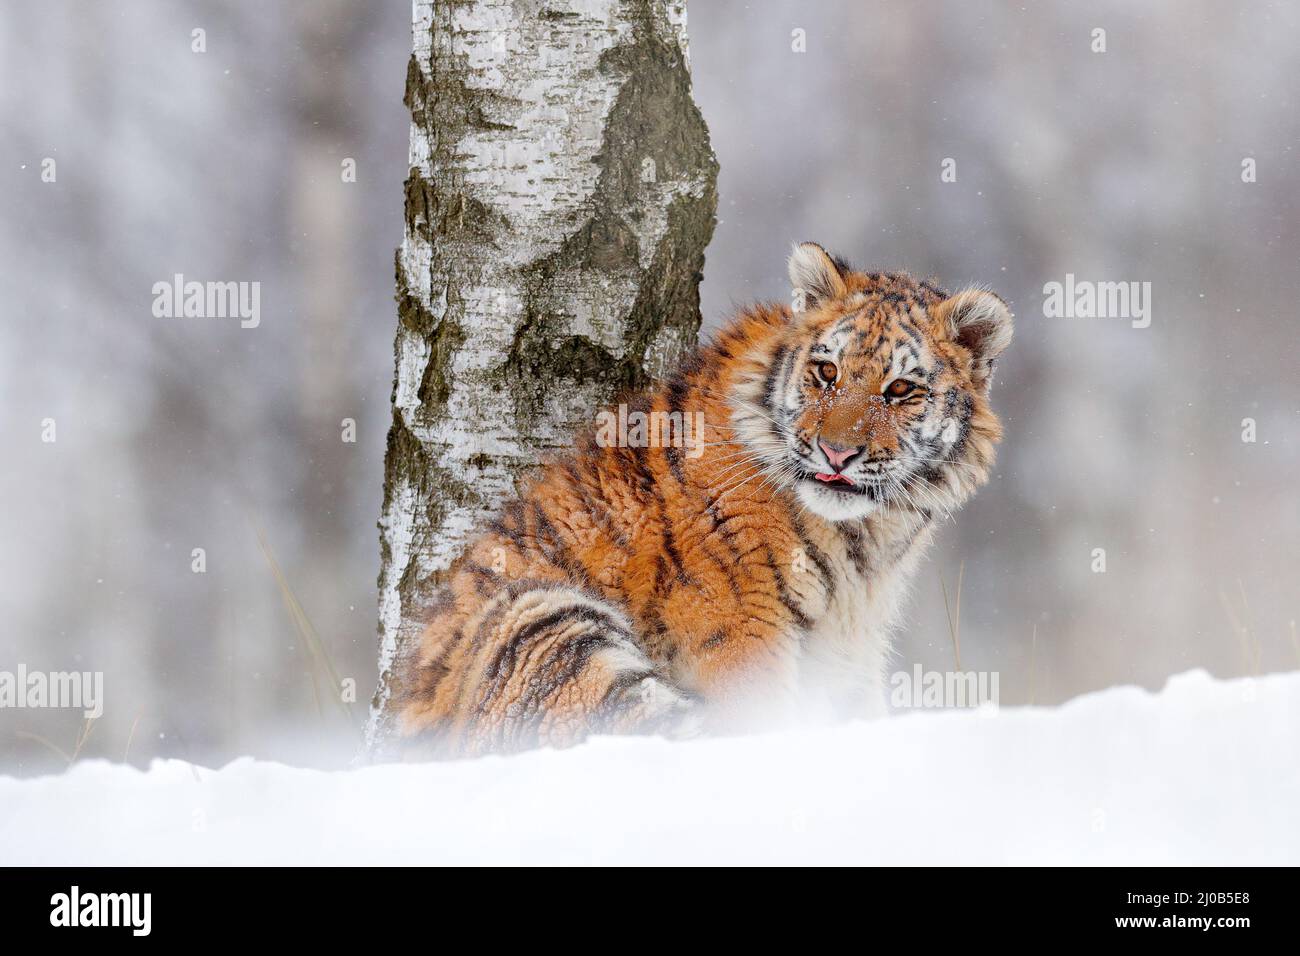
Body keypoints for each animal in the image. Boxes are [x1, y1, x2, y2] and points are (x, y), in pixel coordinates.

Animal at [391, 242, 1012, 757]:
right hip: (535, 620)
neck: (866, 544)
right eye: (826, 371)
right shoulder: (741, 637)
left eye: (901, 389)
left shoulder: (850, 655)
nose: (836, 453)